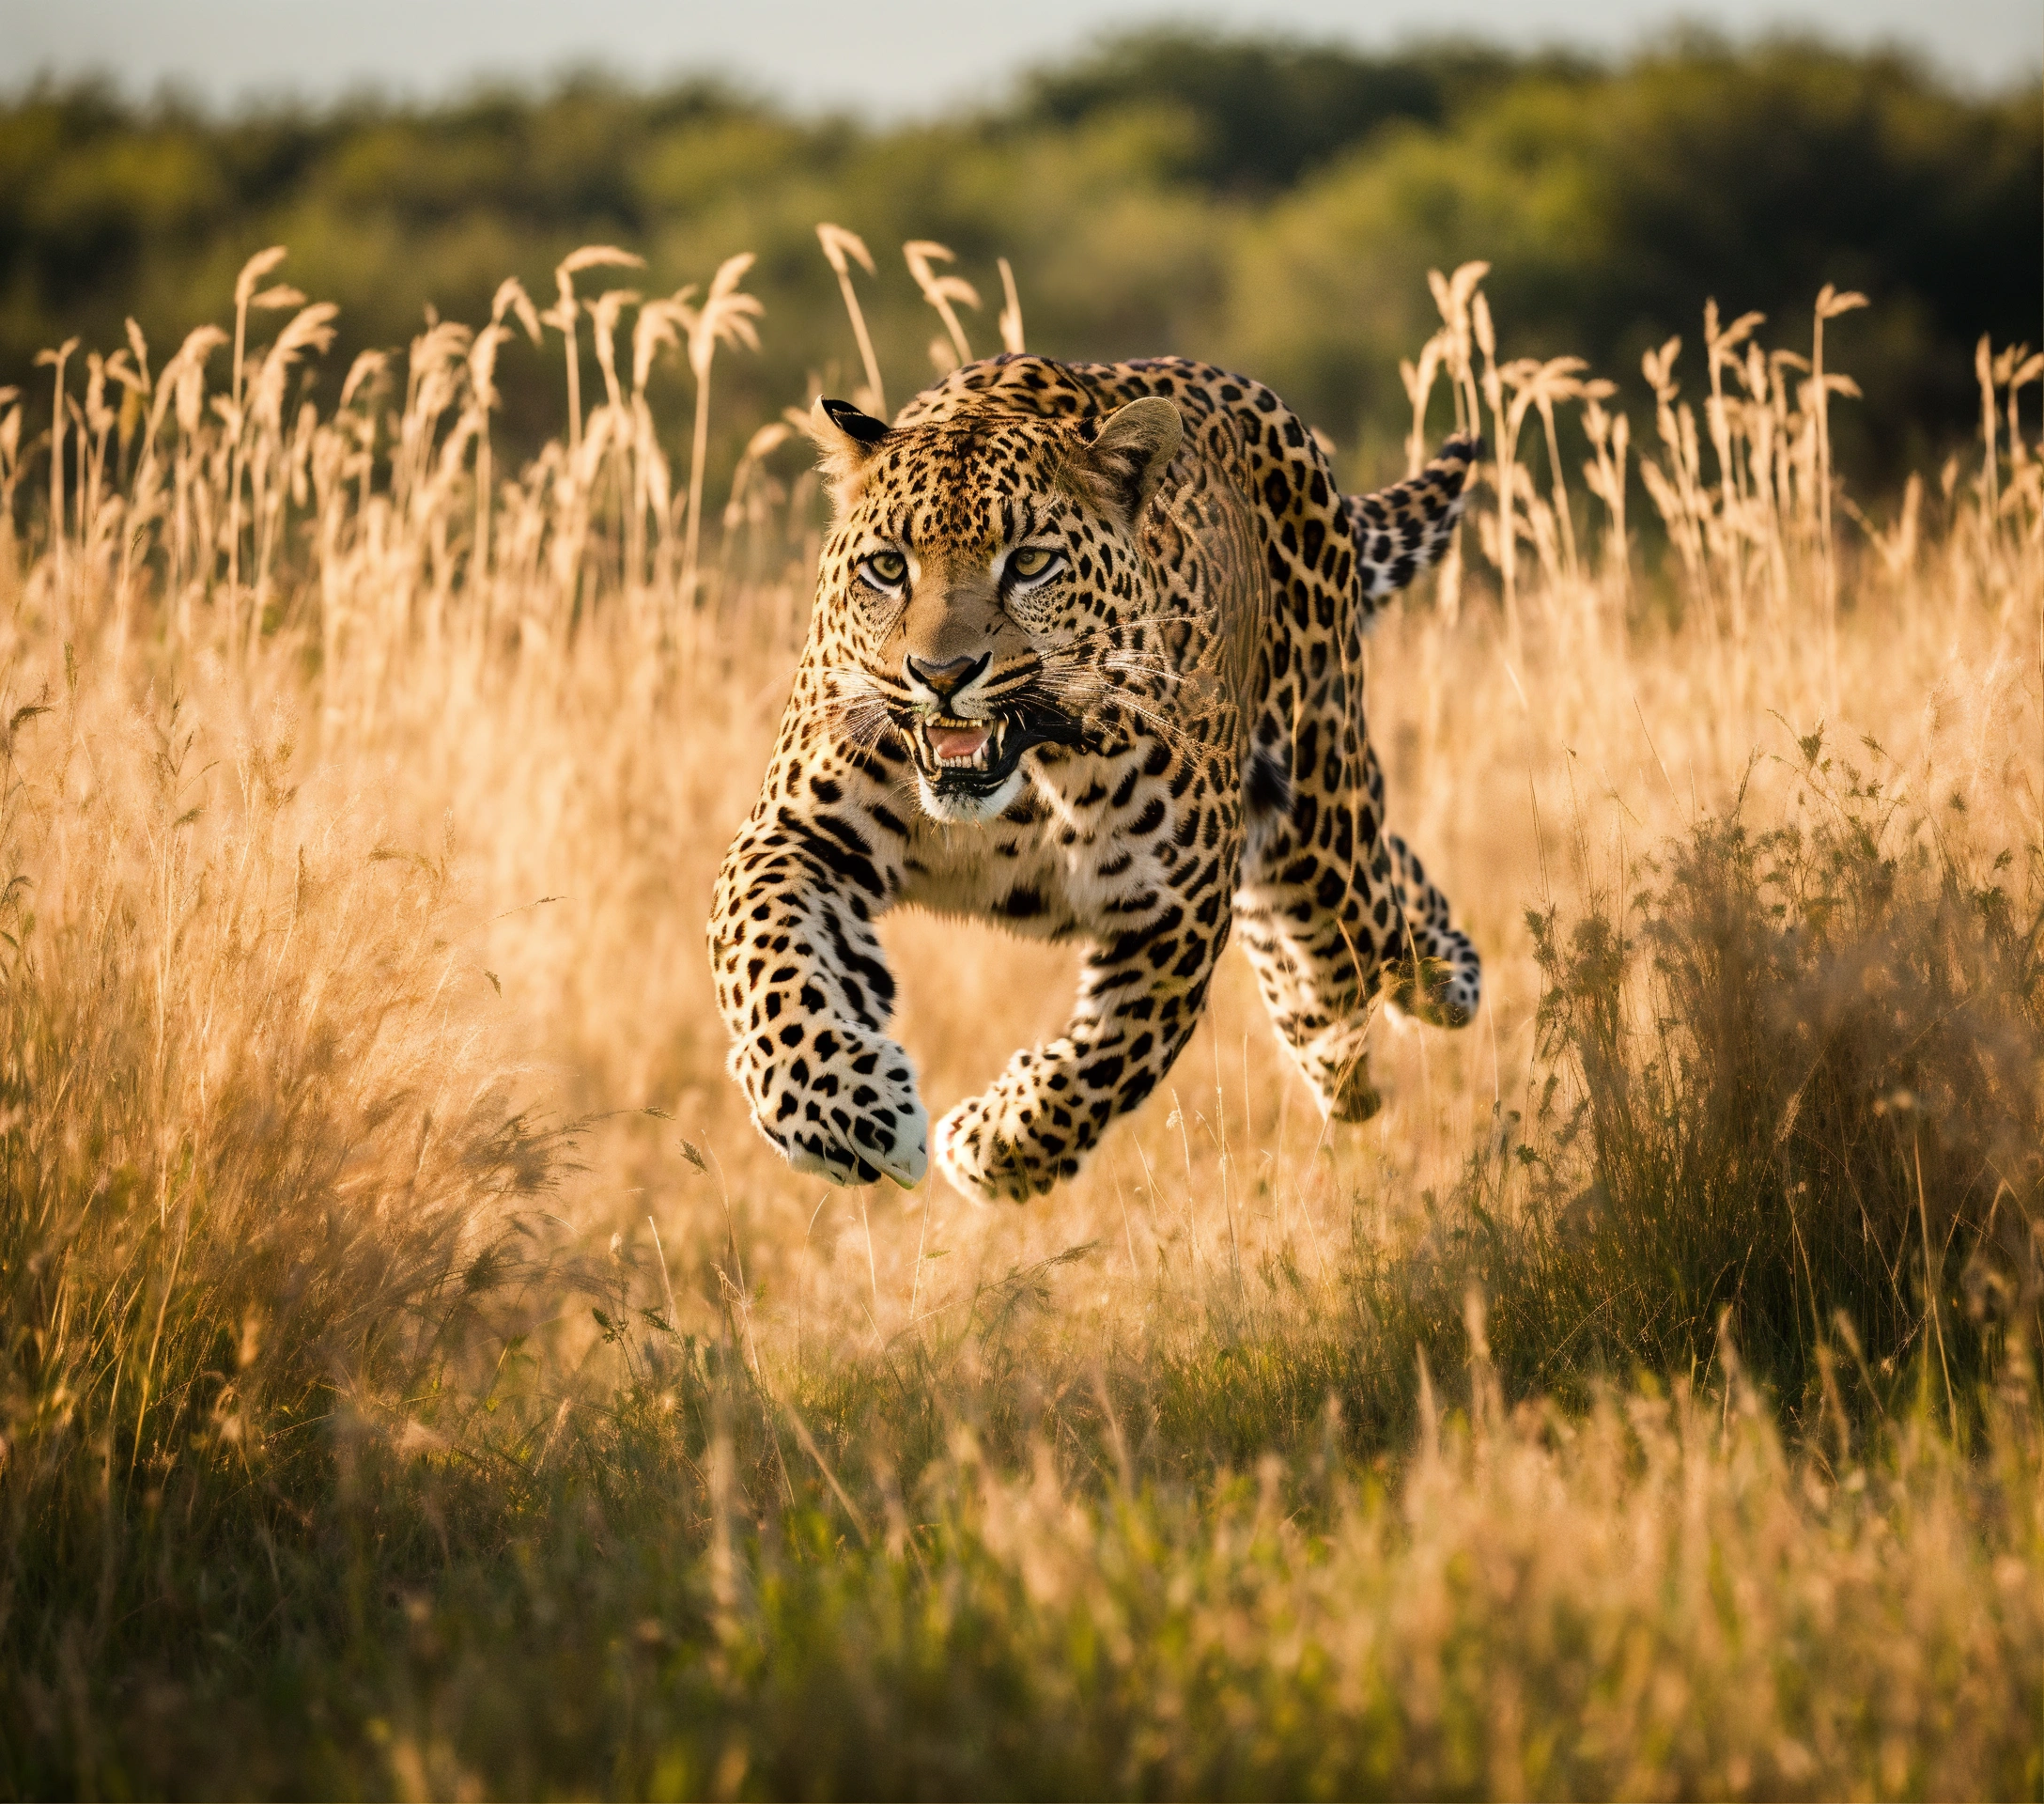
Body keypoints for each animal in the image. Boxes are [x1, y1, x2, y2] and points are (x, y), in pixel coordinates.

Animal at [708, 352, 1483, 1203]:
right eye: (886, 568)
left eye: (1029, 563)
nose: (940, 675)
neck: (1021, 791)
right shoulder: (797, 833)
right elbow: (770, 964)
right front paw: (846, 1114)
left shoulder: (1178, 901)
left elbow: (1114, 1054)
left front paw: (997, 1145)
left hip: (1319, 820)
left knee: (1364, 913)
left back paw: (1440, 982)